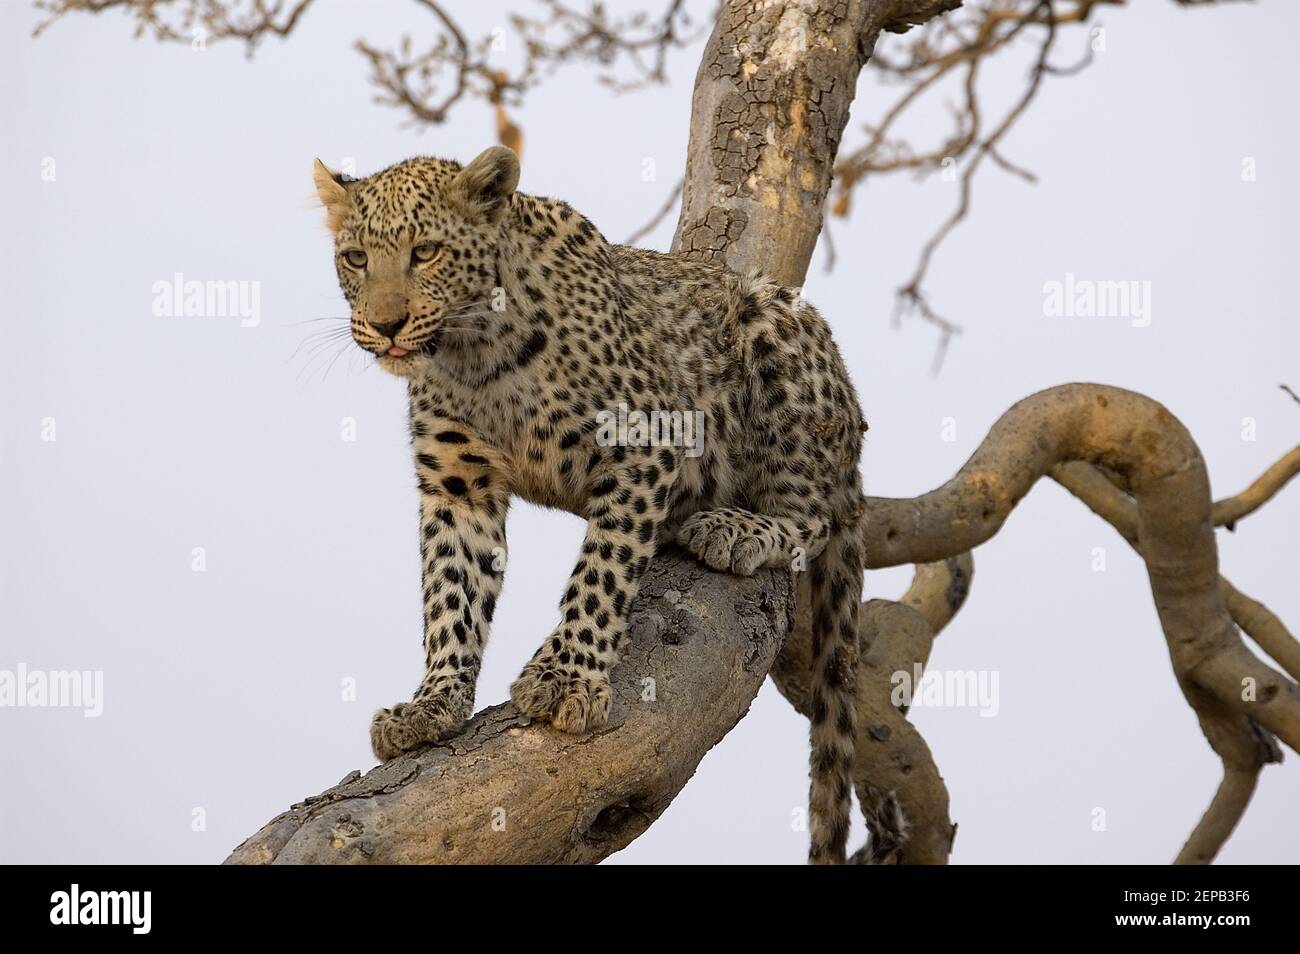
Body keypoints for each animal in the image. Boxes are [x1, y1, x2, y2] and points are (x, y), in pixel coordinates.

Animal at [312, 146, 867, 864]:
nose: (385, 327)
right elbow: (451, 597)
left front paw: (568, 677)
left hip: (775, 331)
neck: (473, 354)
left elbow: (601, 572)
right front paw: (432, 704)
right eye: (356, 258)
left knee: (813, 516)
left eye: (426, 252)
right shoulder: (457, 488)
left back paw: (733, 528)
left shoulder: (647, 442)